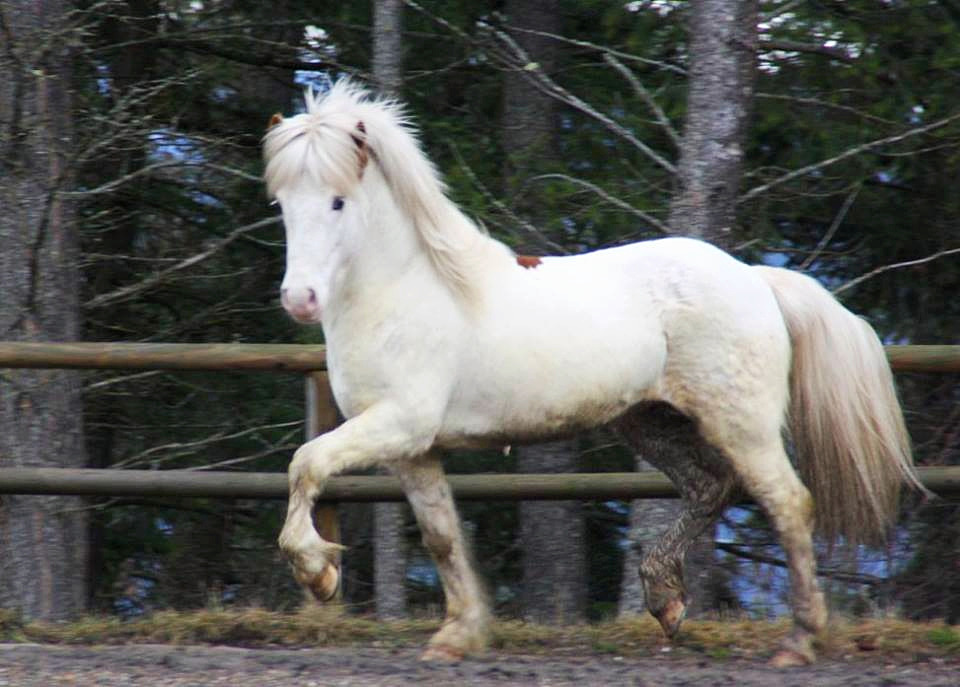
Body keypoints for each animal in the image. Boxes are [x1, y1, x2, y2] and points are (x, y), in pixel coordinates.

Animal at [262, 80, 921, 667]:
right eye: (284, 205)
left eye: (338, 201)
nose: (299, 299)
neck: (407, 290)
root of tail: (756, 278)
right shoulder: (413, 450)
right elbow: (442, 535)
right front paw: (457, 637)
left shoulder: (400, 423)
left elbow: (306, 463)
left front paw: (319, 573)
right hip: (650, 421)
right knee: (709, 487)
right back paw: (666, 600)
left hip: (743, 425)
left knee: (787, 503)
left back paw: (799, 642)